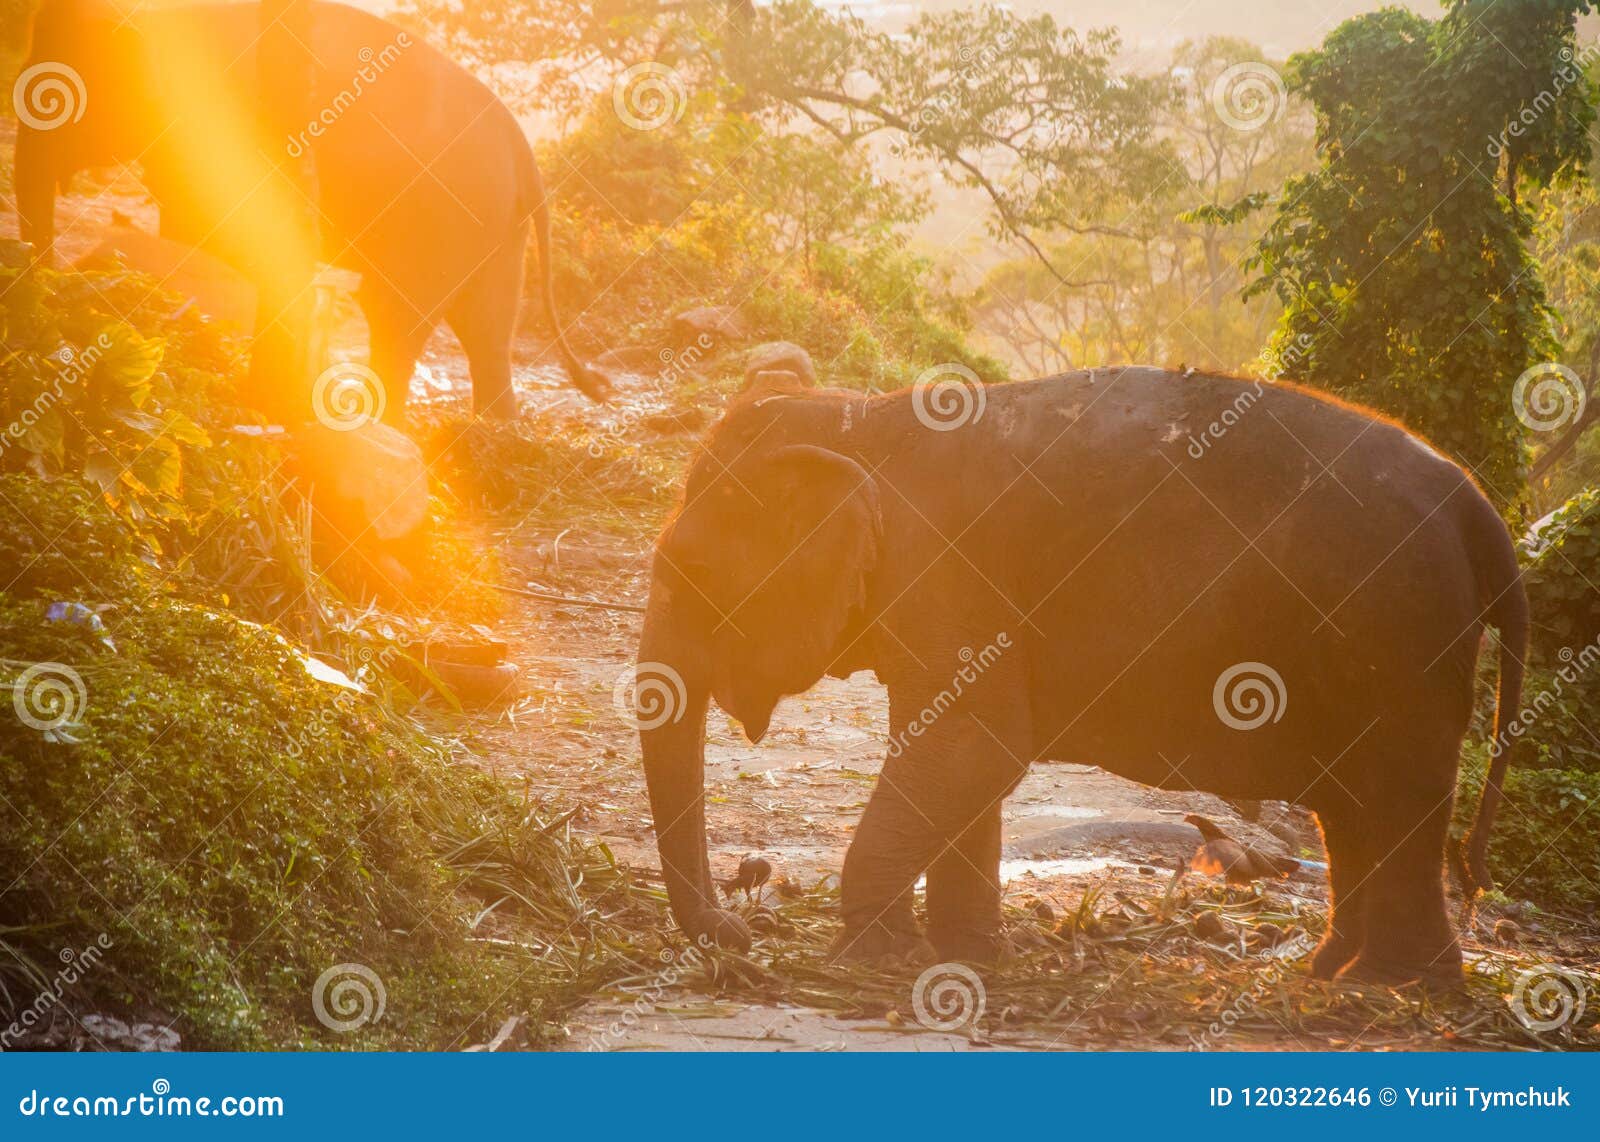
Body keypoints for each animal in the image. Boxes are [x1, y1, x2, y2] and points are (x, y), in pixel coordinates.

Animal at [13, 0, 609, 418]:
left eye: (56, 95)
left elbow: (203, 227)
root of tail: (526, 155)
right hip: (494, 225)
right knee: (485, 329)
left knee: (398, 315)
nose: (52, 291)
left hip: (450, 215)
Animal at [635, 366, 1527, 984]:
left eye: (688, 573)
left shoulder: (950, 575)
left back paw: (1386, 984)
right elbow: (964, 759)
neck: (856, 415)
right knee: (1352, 807)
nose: (742, 932)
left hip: (1403, 630)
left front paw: (871, 958)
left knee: (1394, 794)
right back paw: (1336, 970)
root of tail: (1480, 510)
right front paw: (968, 957)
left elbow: (972, 749)